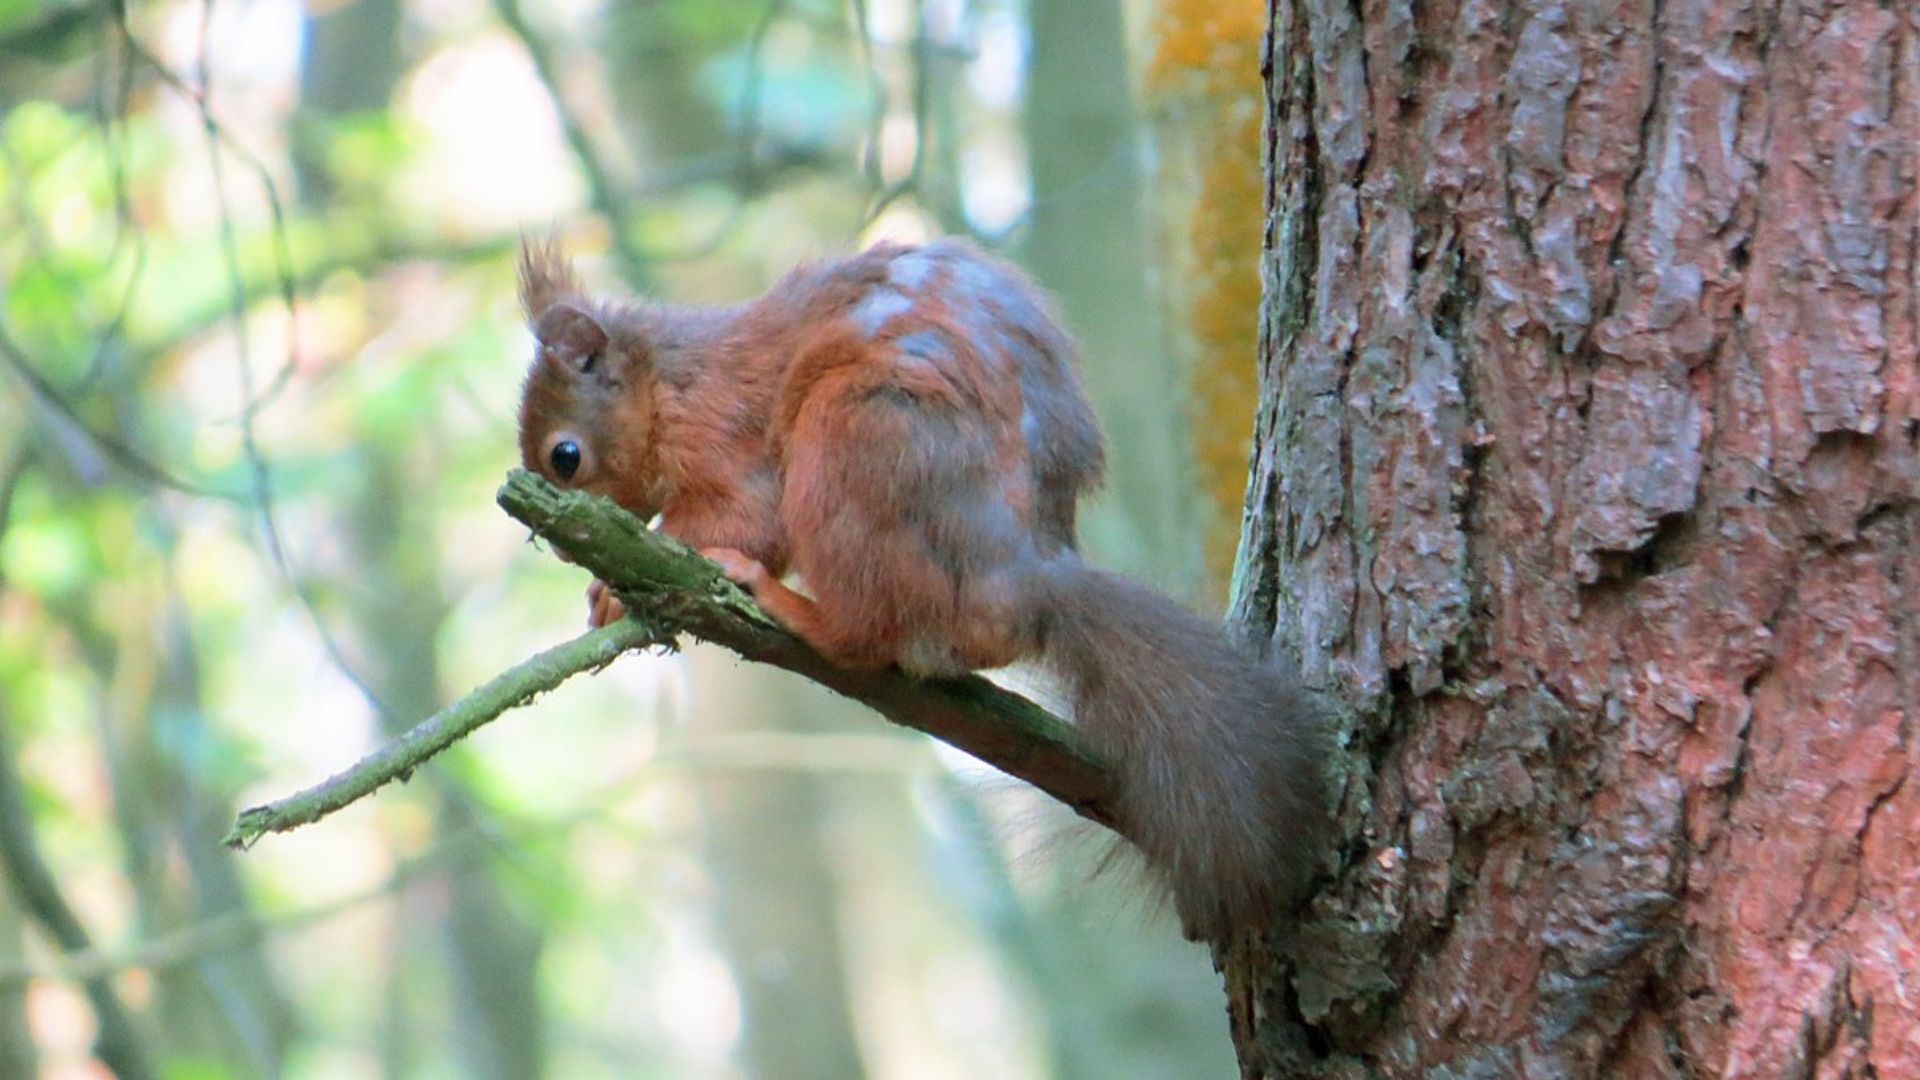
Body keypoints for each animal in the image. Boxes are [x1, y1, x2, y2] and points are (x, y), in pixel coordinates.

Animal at [514, 237, 1329, 937]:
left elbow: (743, 518)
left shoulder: (724, 434)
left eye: (565, 456)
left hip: (853, 434)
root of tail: (1023, 580)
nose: (549, 548)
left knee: (864, 634)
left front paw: (618, 586)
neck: (668, 379)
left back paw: (793, 607)